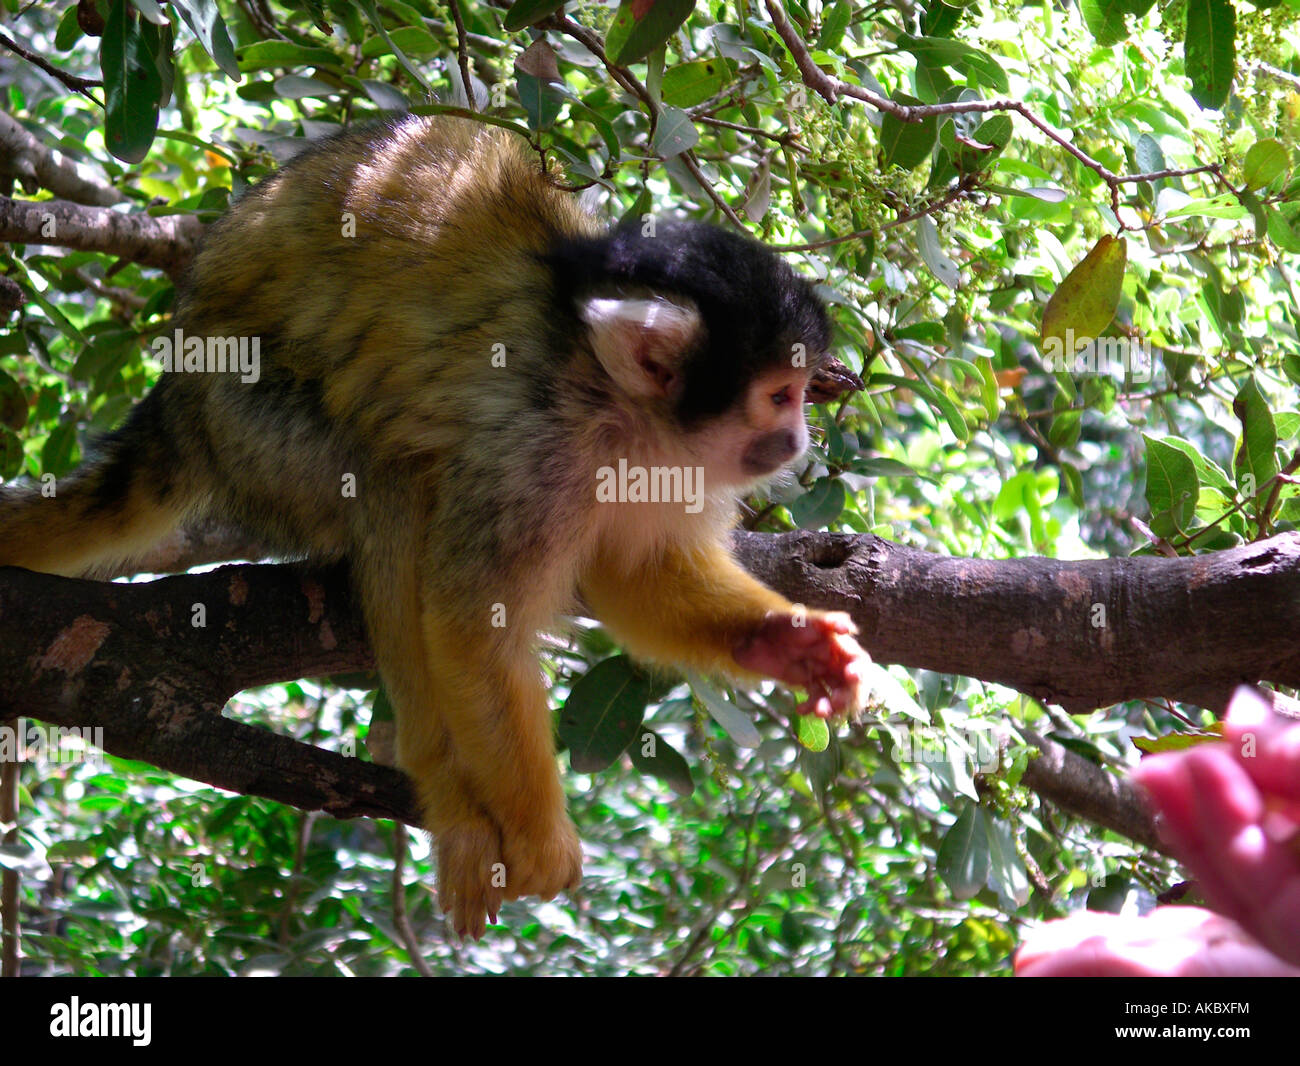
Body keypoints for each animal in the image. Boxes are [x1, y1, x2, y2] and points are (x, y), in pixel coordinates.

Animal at [0, 115, 869, 939]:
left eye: (801, 394)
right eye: (779, 396)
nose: (798, 440)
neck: (618, 410)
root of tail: (179, 404)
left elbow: (638, 578)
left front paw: (788, 642)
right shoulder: (531, 448)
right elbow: (471, 625)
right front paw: (540, 837)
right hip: (247, 419)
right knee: (390, 487)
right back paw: (450, 798)